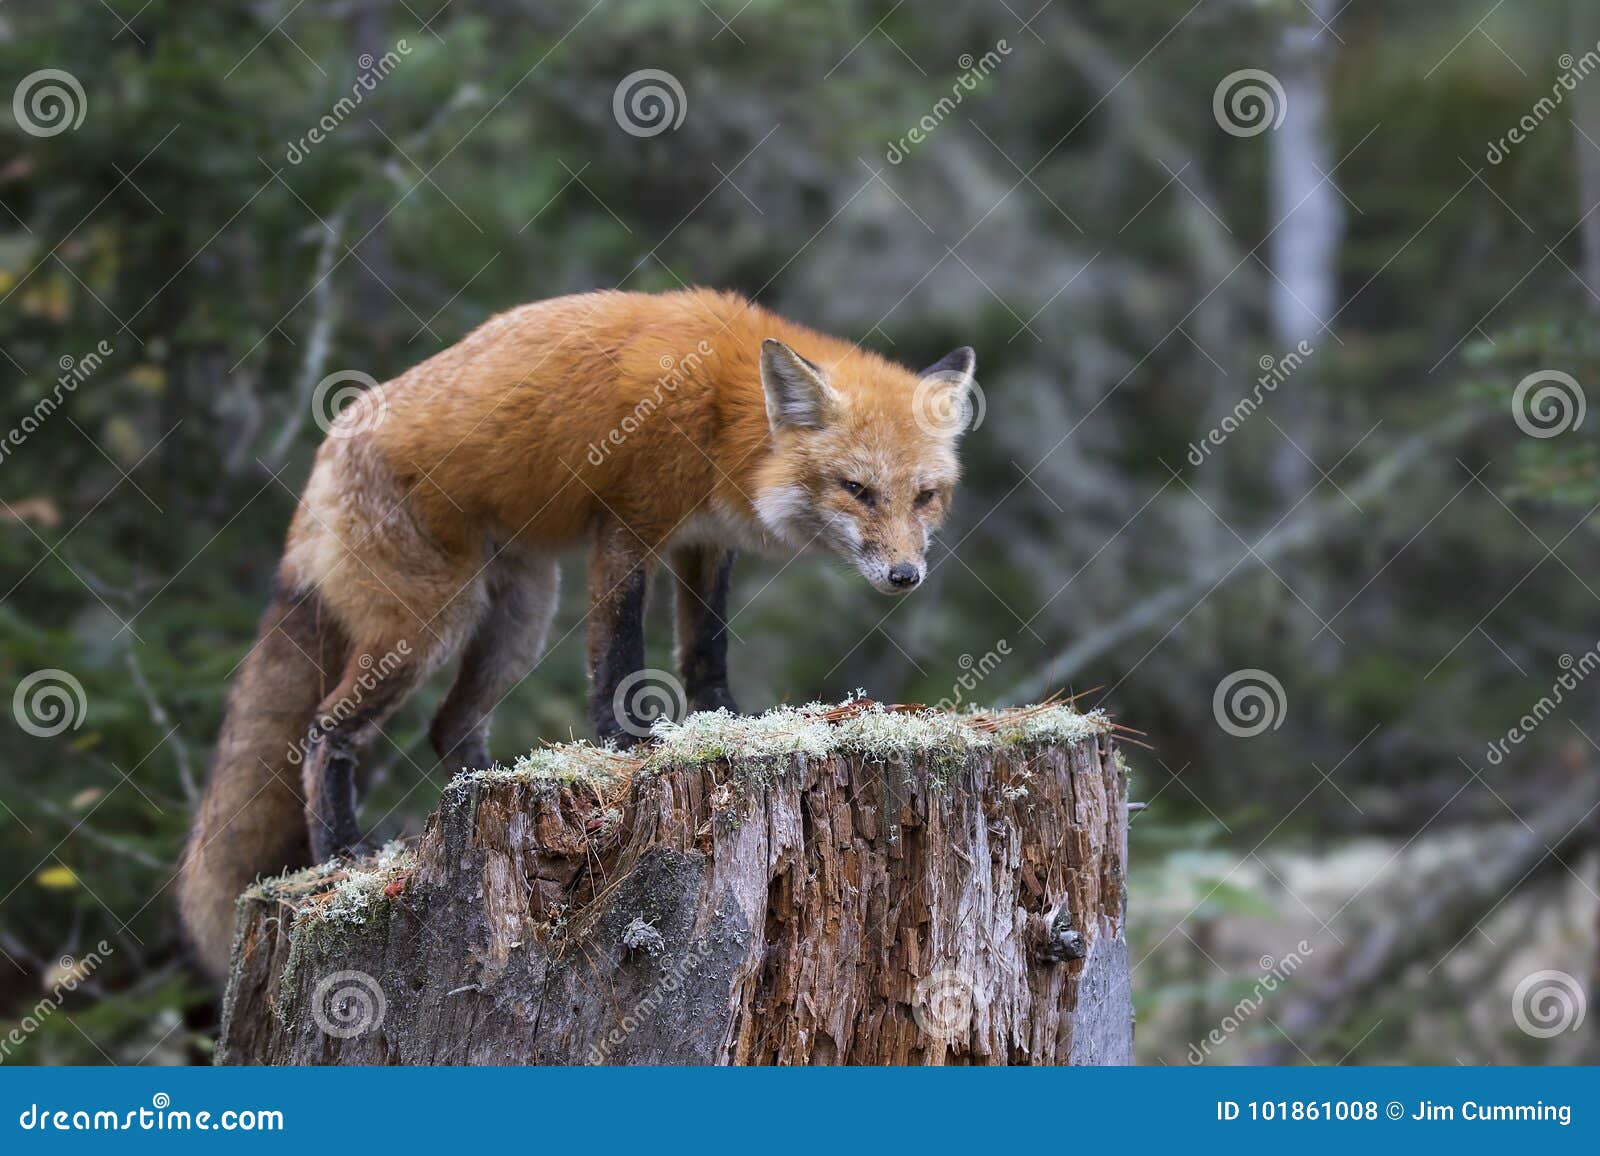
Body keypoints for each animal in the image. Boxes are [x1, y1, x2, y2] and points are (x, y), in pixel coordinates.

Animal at [177, 287, 977, 979]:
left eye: (924, 497)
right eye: (857, 490)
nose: (905, 576)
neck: (727, 416)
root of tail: (325, 456)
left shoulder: (703, 543)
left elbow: (705, 650)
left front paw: (724, 721)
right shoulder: (626, 527)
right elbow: (618, 654)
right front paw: (623, 743)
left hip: (520, 618)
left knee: (447, 726)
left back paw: (485, 787)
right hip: (430, 623)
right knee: (322, 731)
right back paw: (341, 849)